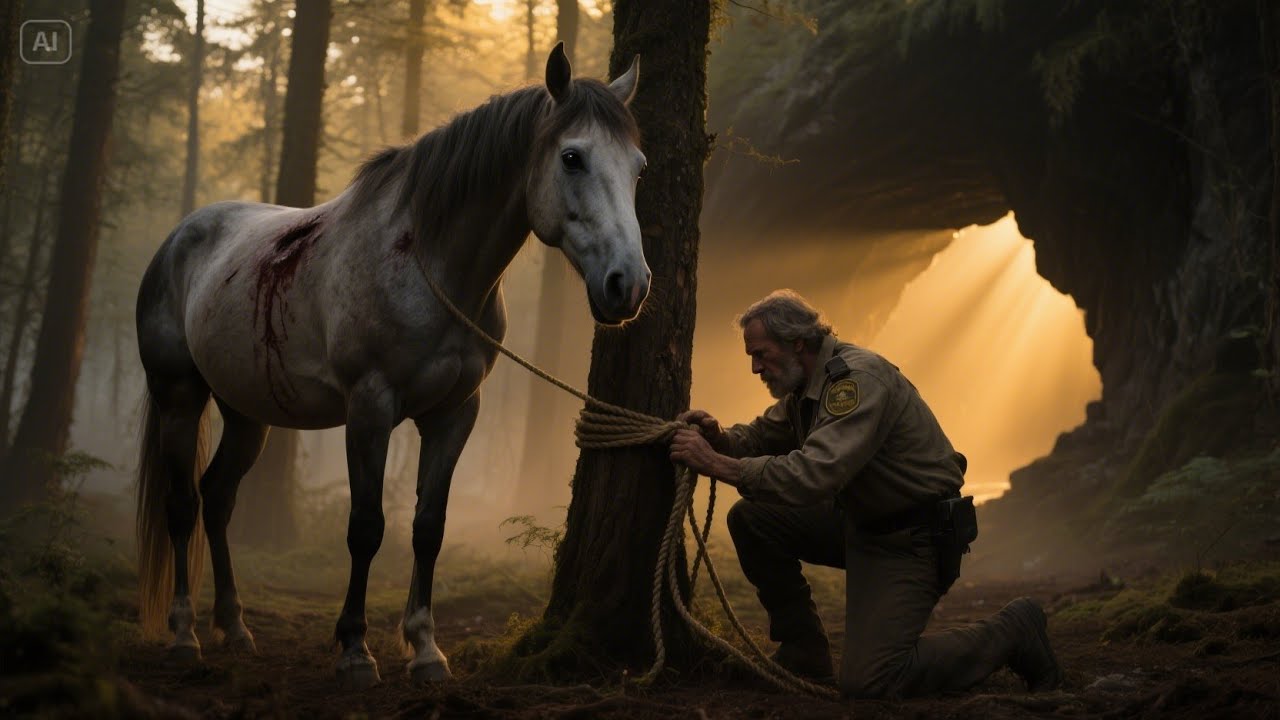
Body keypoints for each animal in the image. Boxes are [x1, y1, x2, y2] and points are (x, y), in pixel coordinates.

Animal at [134, 44, 647, 688]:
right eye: (573, 157)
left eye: (638, 168)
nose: (628, 285)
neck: (430, 264)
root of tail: (179, 237)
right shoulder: (370, 408)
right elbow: (366, 527)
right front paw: (356, 649)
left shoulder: (456, 414)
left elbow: (429, 527)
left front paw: (426, 649)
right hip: (179, 395)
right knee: (182, 506)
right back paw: (184, 635)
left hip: (247, 412)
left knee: (218, 497)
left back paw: (235, 627)